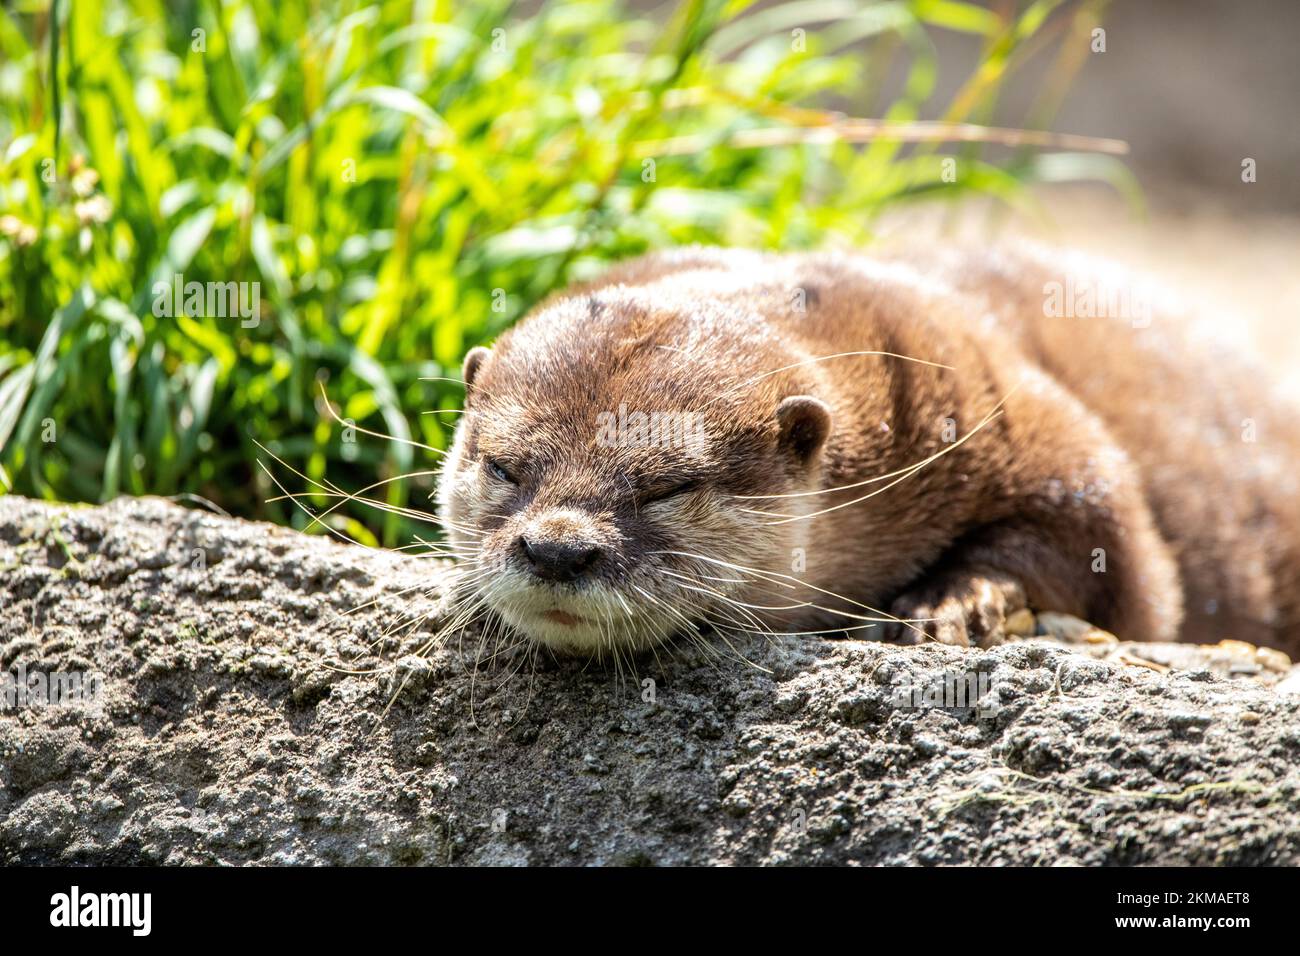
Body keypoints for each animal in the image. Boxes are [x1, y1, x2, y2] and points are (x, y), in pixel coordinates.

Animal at [437, 245, 1300, 657]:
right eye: (504, 467)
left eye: (666, 489)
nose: (557, 551)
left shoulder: (1002, 403)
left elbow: (1117, 557)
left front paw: (952, 604)